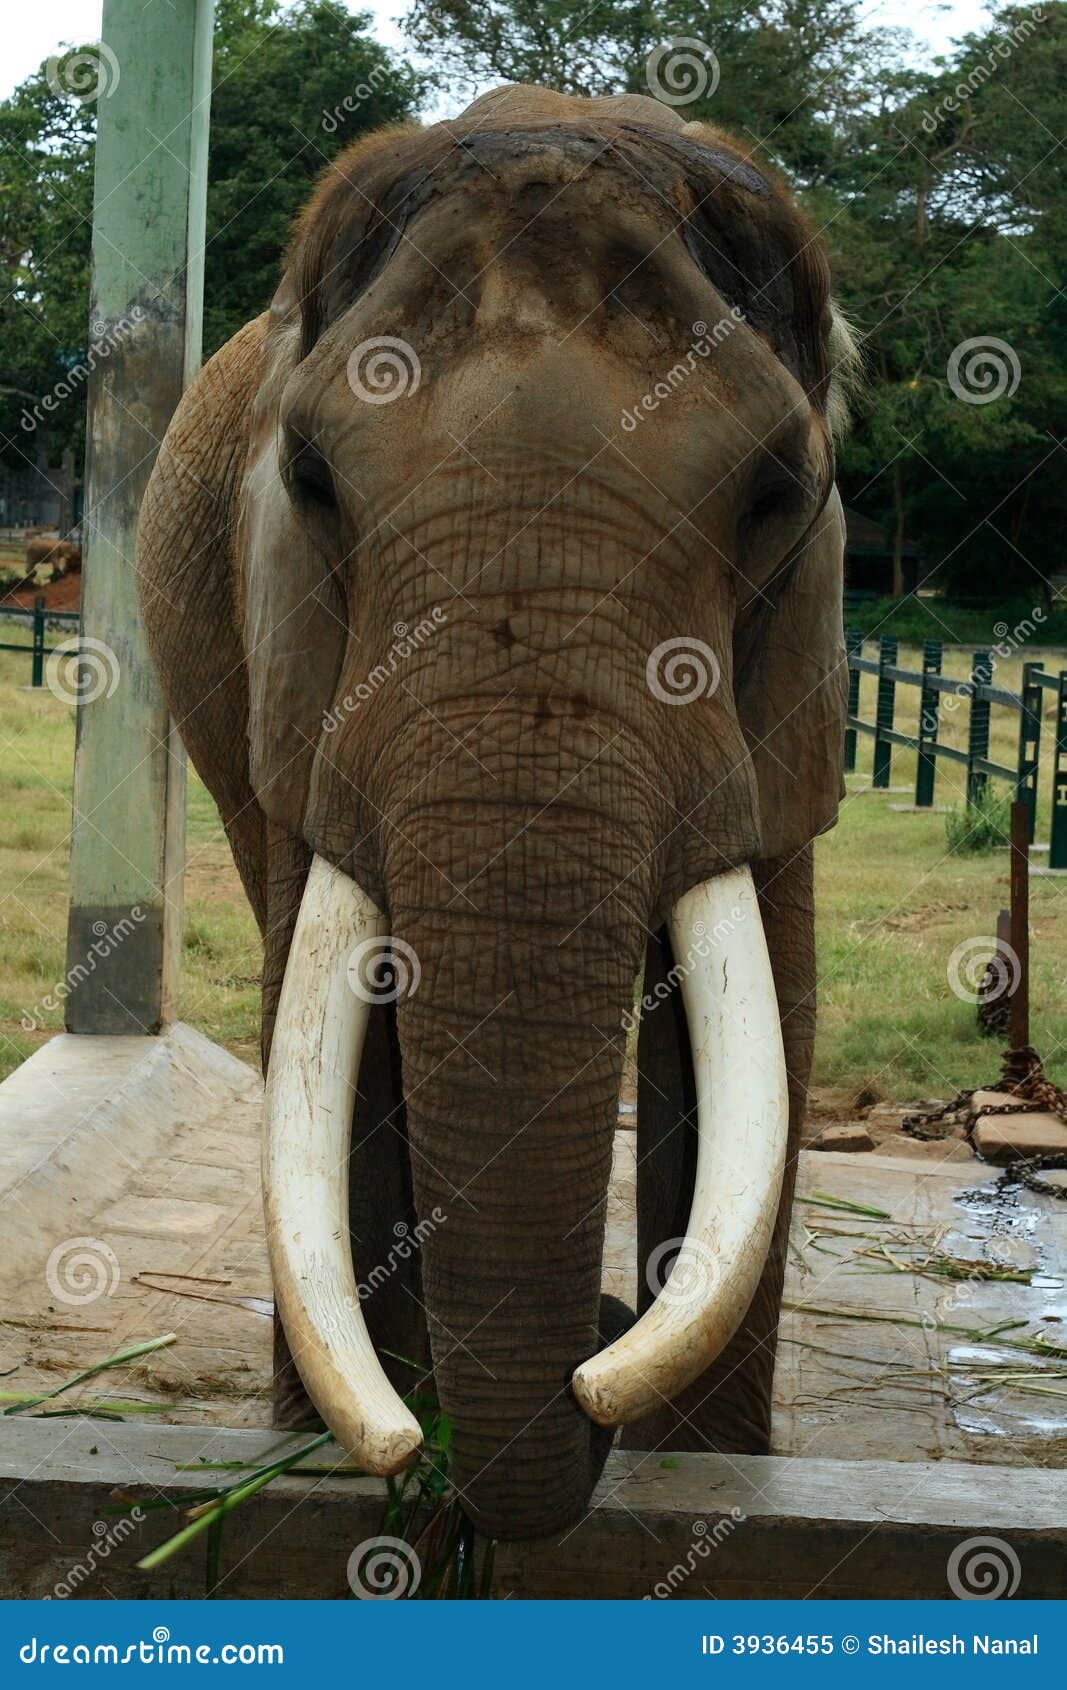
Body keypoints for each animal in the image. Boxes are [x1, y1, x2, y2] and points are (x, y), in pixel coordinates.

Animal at [137, 82, 857, 1542]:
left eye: (777, 491)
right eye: (308, 476)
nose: (591, 1361)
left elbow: (766, 1027)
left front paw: (706, 1479)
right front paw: (366, 1462)